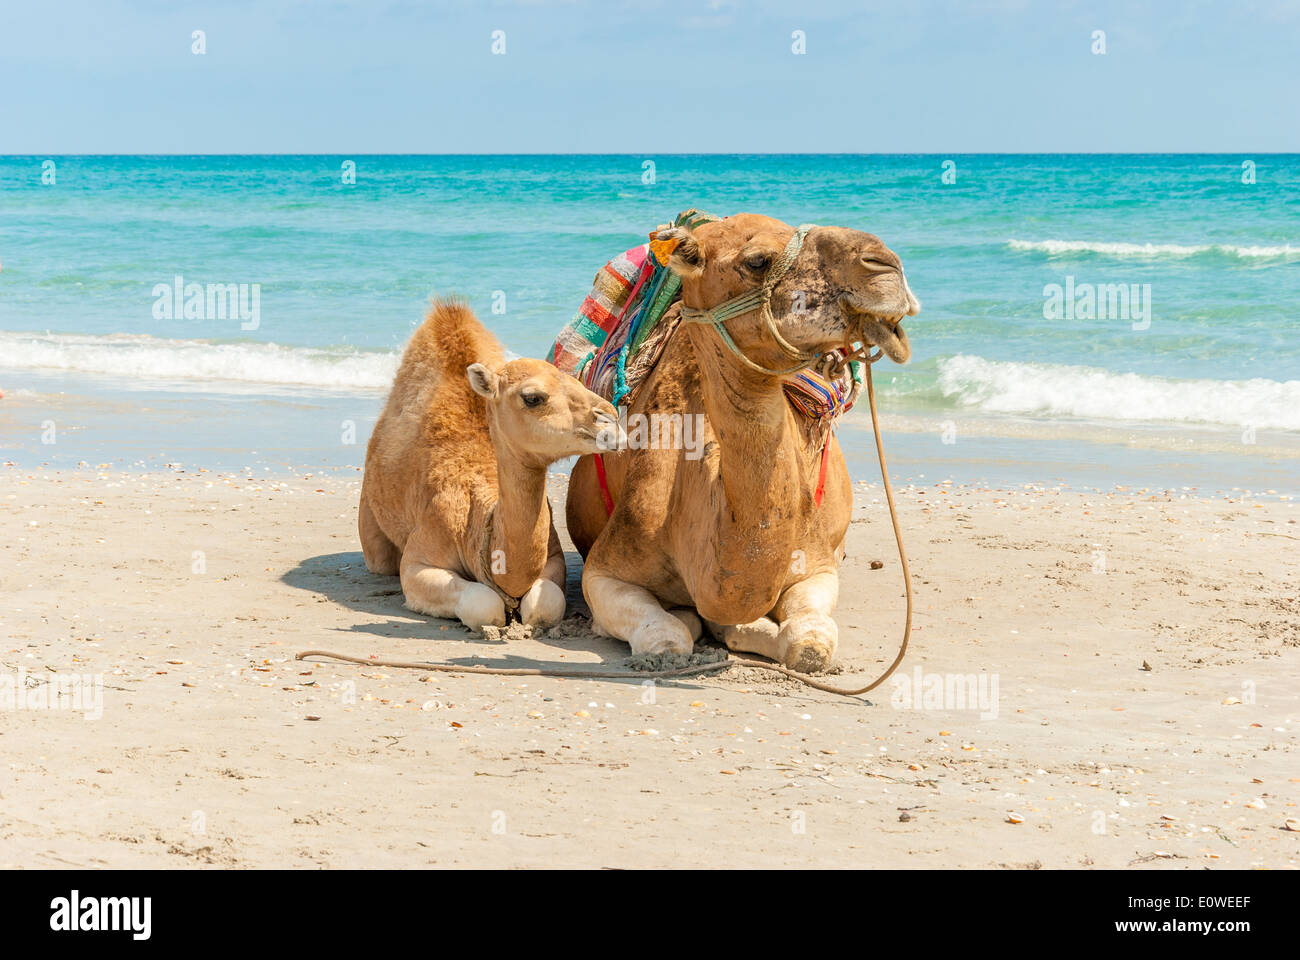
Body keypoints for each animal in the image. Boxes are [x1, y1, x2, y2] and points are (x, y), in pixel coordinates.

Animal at [360, 299, 621, 632]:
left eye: (577, 381)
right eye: (533, 397)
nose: (611, 419)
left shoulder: (554, 557)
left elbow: (546, 603)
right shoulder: (420, 559)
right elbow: (483, 602)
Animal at [566, 214, 919, 671]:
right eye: (757, 260)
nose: (886, 265)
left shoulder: (816, 565)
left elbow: (808, 641)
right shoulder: (604, 569)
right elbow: (667, 638)